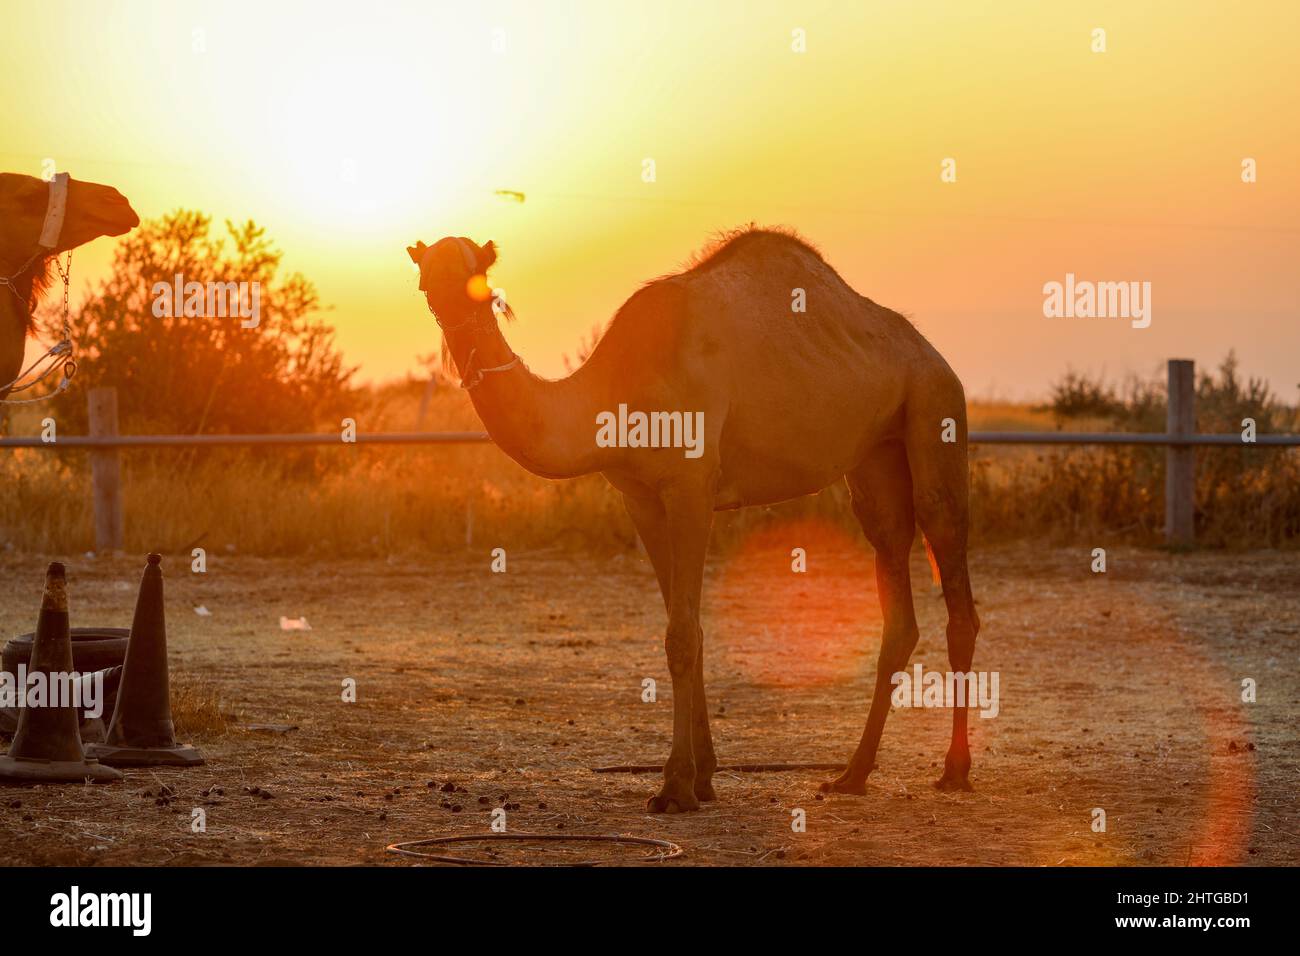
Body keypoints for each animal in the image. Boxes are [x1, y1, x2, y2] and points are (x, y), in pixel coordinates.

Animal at [406, 228, 979, 812]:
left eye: (480, 282)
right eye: (427, 283)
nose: (455, 327)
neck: (613, 390)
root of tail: (935, 357)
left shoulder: (691, 486)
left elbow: (681, 636)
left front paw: (675, 785)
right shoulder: (640, 498)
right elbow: (690, 630)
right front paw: (704, 776)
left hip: (935, 408)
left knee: (954, 580)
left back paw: (954, 769)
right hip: (873, 461)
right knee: (895, 589)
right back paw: (853, 773)